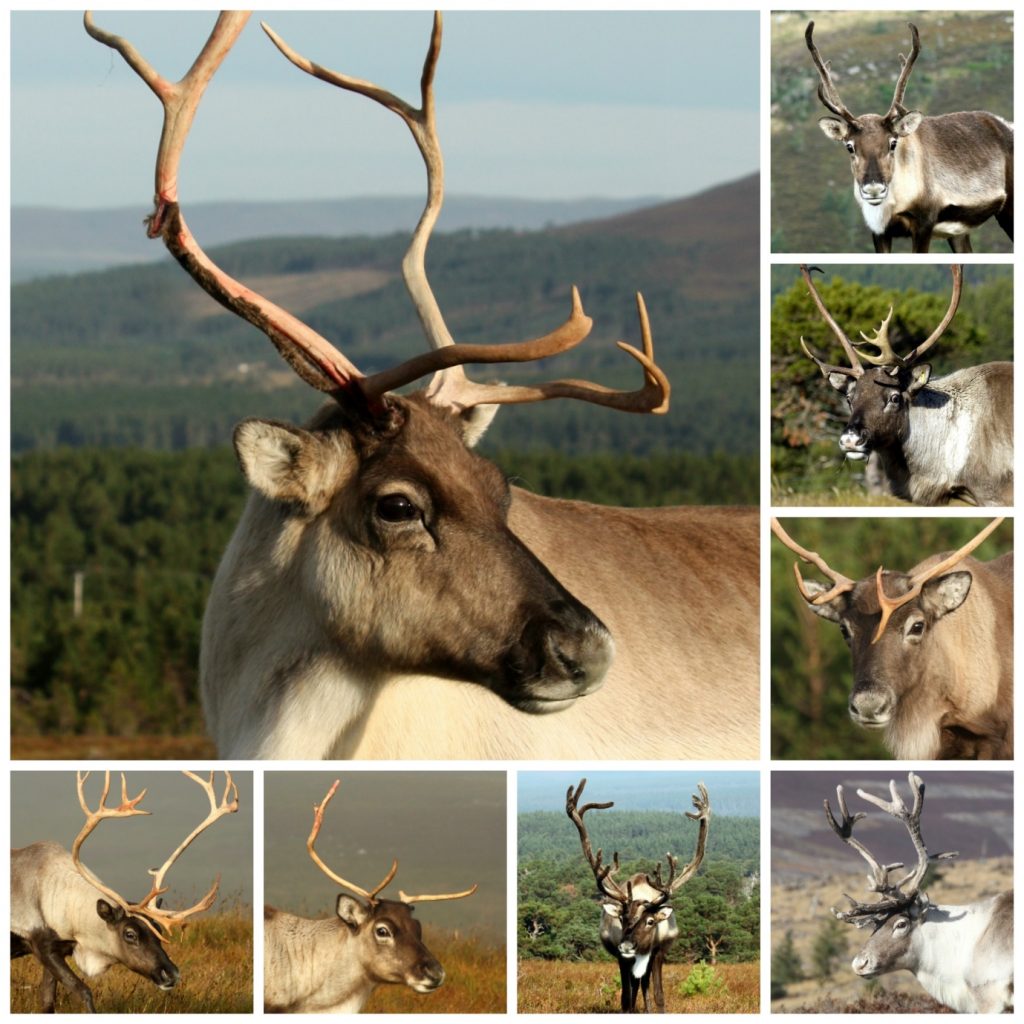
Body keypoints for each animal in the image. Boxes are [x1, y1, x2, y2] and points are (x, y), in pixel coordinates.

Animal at [10, 771, 238, 1013]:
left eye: (158, 929)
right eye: (129, 934)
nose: (172, 974)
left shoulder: (58, 950)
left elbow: (47, 1002)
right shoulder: (42, 946)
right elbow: (84, 992)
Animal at [566, 778, 710, 1014]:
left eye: (650, 921)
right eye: (622, 918)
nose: (626, 946)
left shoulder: (659, 953)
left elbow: (659, 994)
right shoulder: (622, 959)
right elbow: (626, 998)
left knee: (644, 984)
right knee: (636, 987)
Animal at [805, 20, 1013, 254]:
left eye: (893, 143)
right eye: (849, 146)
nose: (874, 188)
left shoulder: (923, 223)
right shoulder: (879, 230)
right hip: (959, 232)